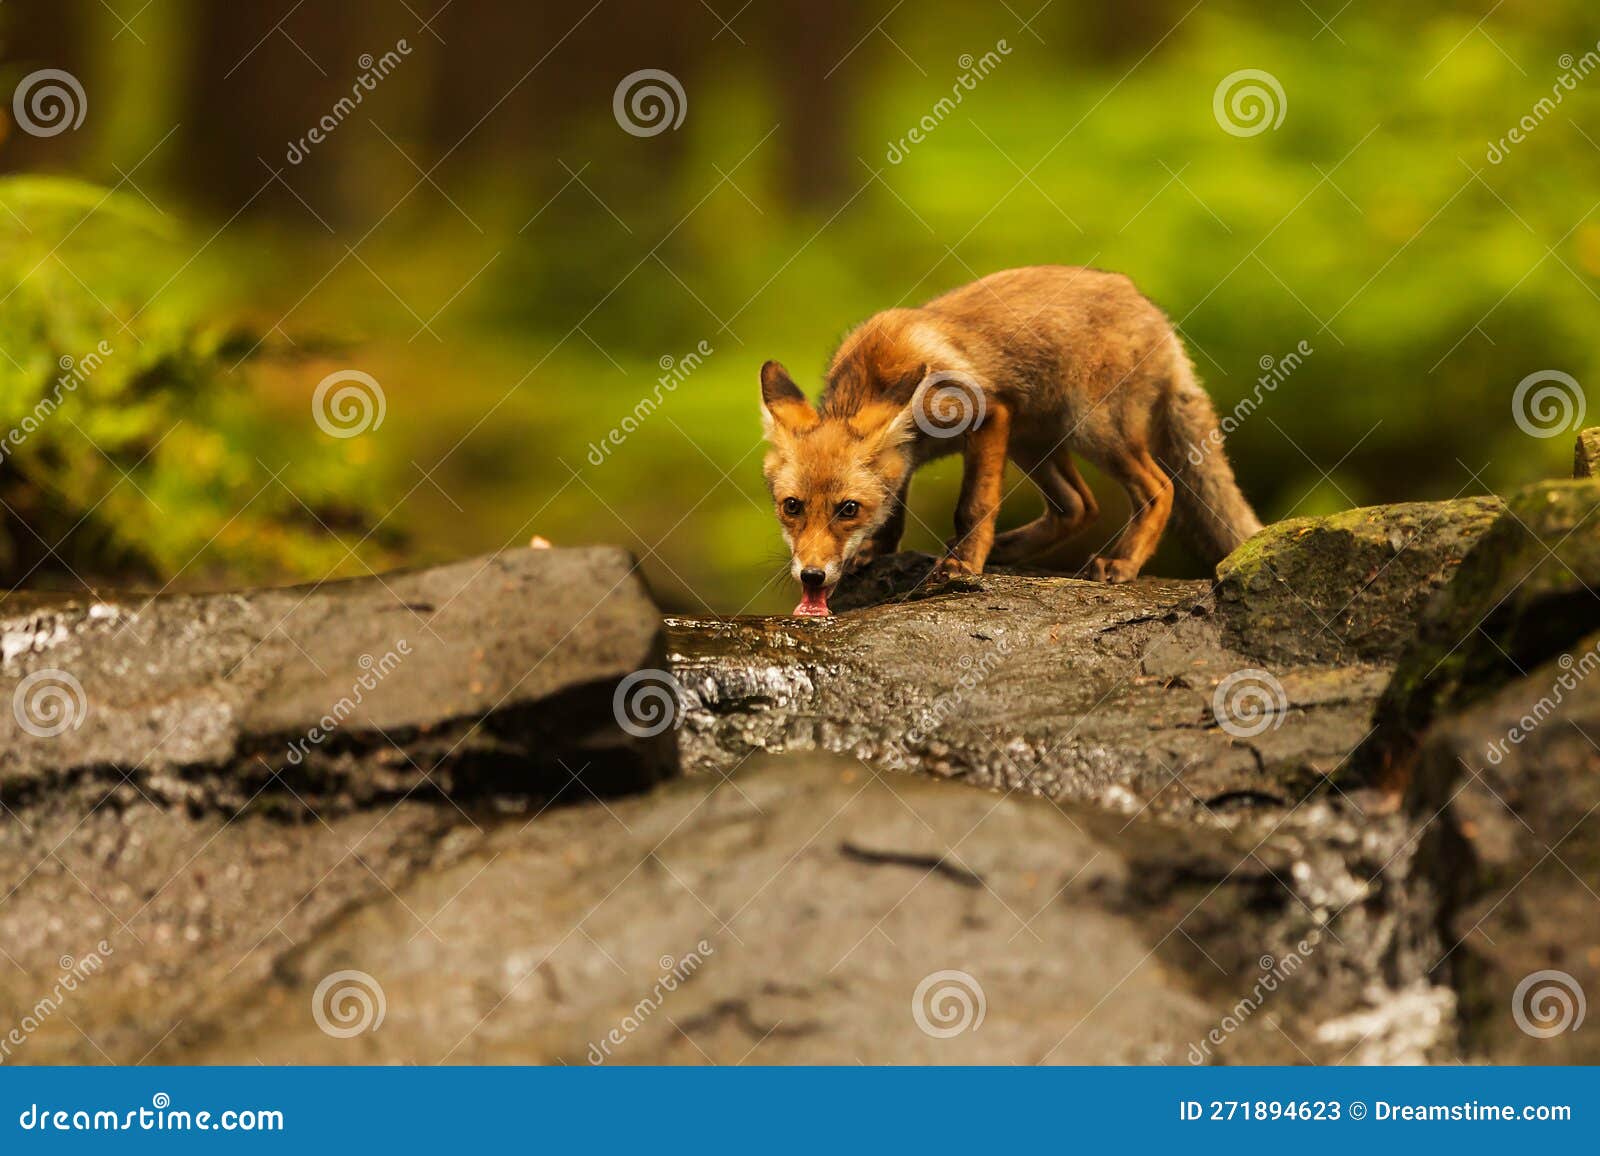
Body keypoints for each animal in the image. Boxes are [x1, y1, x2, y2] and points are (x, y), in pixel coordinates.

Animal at [759, 265, 1262, 616]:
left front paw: (963, 567)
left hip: (1094, 429)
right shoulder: (908, 454)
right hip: (1032, 441)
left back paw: (1122, 563)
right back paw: (1006, 549)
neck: (874, 373)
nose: (812, 575)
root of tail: (1155, 312)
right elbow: (895, 509)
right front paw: (877, 552)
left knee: (1160, 488)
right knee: (1078, 507)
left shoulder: (987, 414)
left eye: (848, 509)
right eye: (792, 507)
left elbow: (973, 505)